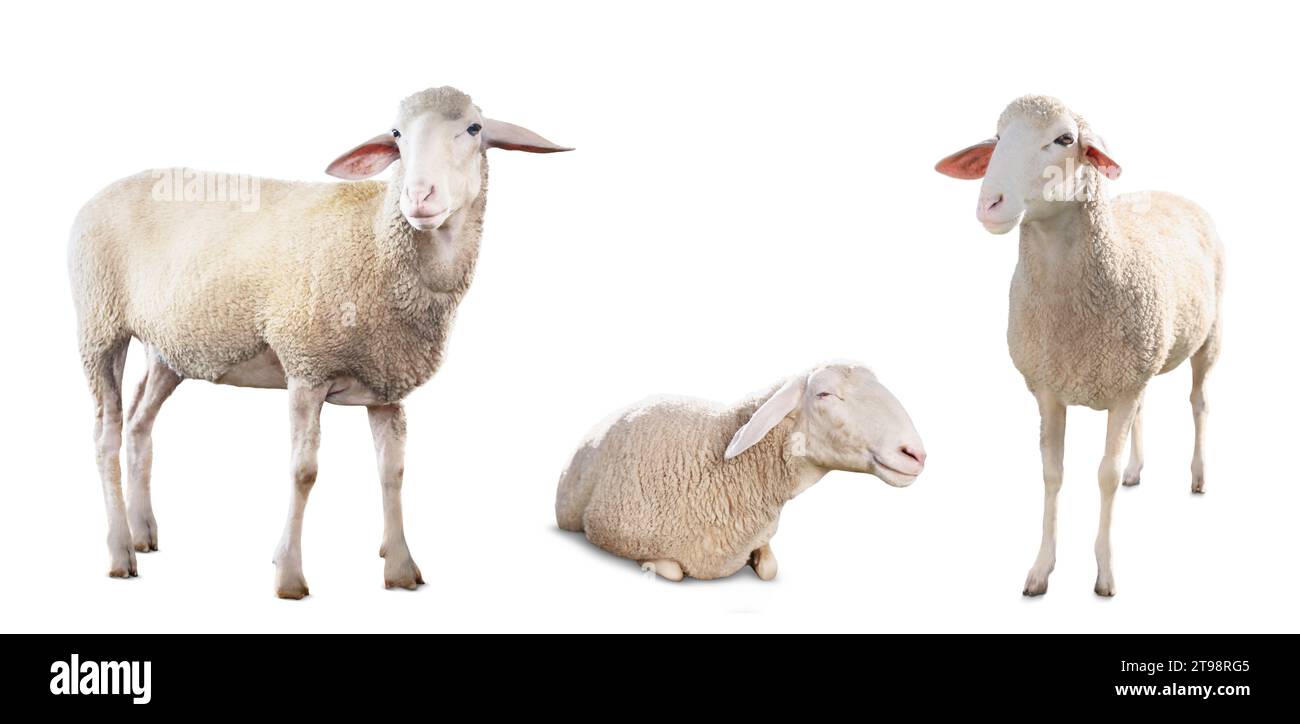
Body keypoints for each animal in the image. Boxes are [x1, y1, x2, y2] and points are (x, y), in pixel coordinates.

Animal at [68, 86, 572, 598]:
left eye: (473, 129)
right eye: (396, 134)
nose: (418, 196)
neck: (376, 239)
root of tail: (106, 189)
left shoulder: (387, 381)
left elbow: (393, 472)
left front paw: (401, 568)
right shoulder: (306, 365)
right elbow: (303, 471)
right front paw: (289, 574)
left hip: (170, 347)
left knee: (138, 424)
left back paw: (143, 531)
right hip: (100, 325)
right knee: (106, 434)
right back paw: (120, 551)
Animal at [555, 363, 926, 581]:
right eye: (824, 394)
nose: (915, 454)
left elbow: (770, 569)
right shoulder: (611, 530)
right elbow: (673, 571)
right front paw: (651, 565)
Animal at [935, 95, 1225, 597]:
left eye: (1065, 139)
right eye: (997, 137)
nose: (990, 204)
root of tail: (1171, 193)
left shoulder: (1122, 389)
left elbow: (1103, 474)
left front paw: (1104, 572)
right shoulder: (1050, 388)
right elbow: (1052, 474)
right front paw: (1040, 569)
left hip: (1211, 334)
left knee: (1199, 403)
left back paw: (1198, 475)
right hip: (1143, 356)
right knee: (1148, 407)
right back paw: (1136, 470)